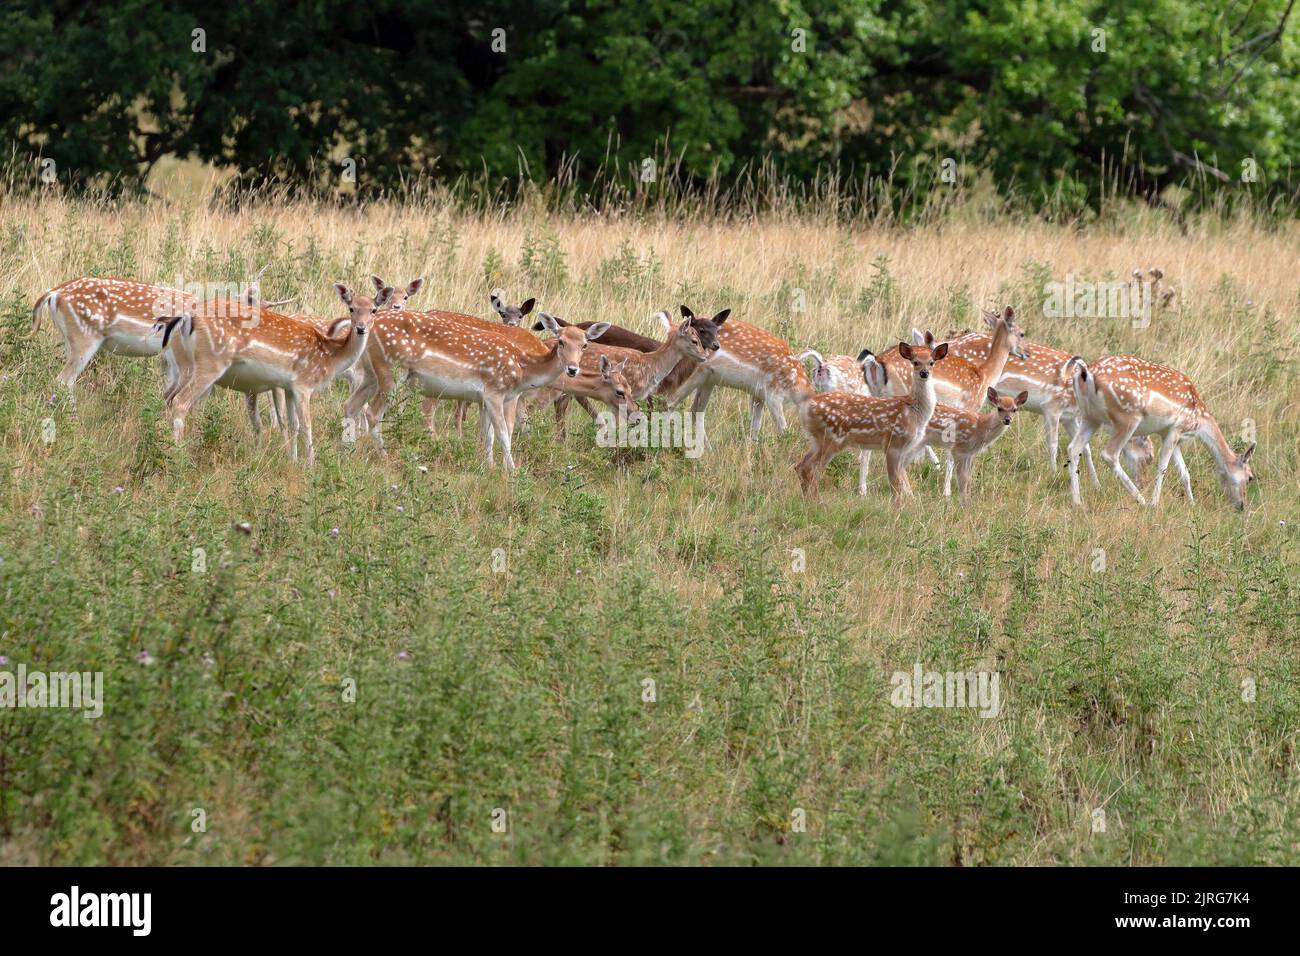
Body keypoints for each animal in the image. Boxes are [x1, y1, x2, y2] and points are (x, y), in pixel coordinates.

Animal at [158, 283, 385, 465]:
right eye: (351, 308)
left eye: (374, 310)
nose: (361, 328)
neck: (328, 358)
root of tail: (188, 317)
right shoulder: (304, 383)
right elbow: (307, 425)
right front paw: (311, 465)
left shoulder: (288, 386)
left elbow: (293, 425)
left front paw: (293, 461)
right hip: (210, 364)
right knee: (180, 403)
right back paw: (179, 454)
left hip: (185, 367)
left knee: (168, 398)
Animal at [343, 308, 609, 468]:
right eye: (561, 342)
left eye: (585, 345)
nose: (573, 369)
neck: (522, 368)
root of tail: (371, 326)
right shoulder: (495, 392)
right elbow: (503, 433)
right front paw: (511, 471)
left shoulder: (483, 399)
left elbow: (487, 434)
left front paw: (488, 467)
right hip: (392, 371)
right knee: (372, 413)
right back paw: (384, 456)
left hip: (371, 373)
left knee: (350, 406)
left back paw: (347, 449)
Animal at [796, 341, 946, 502]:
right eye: (915, 362)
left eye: (932, 362)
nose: (924, 373)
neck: (916, 412)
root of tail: (807, 405)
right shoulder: (892, 444)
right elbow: (895, 486)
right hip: (831, 439)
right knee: (810, 469)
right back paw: (815, 501)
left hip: (818, 440)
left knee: (801, 466)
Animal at [1065, 356, 1256, 511]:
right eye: (1250, 477)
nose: (1242, 506)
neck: (1199, 420)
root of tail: (1085, 372)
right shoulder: (1176, 428)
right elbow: (1163, 467)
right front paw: (1154, 503)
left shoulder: (1171, 435)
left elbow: (1184, 472)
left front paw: (1192, 504)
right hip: (1127, 417)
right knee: (1109, 454)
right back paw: (1141, 500)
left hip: (1090, 417)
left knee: (1074, 448)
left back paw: (1077, 501)